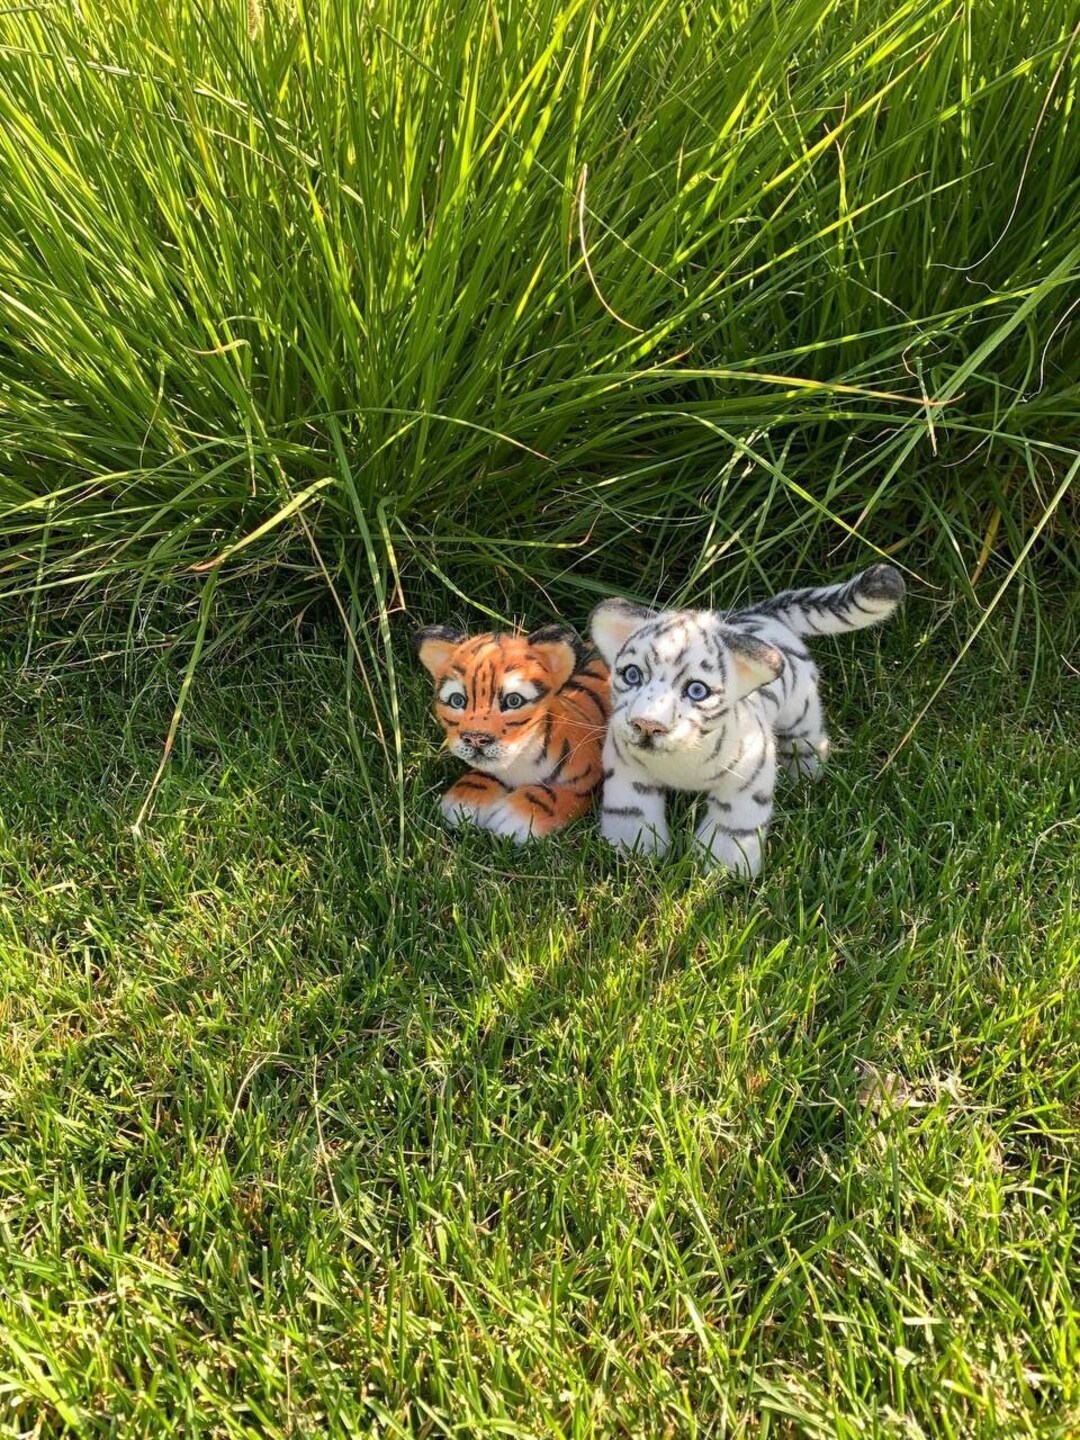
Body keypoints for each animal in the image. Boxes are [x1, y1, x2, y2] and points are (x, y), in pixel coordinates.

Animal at [414, 623, 611, 842]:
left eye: (513, 701)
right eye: (458, 700)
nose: (476, 739)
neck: (522, 760)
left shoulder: (588, 777)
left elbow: (554, 794)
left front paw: (517, 817)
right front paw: (463, 799)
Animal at [589, 564, 906, 876]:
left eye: (696, 691)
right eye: (632, 675)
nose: (647, 724)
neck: (680, 758)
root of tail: (762, 612)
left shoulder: (748, 776)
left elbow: (735, 826)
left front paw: (725, 869)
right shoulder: (626, 768)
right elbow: (631, 810)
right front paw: (633, 851)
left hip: (800, 710)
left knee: (807, 736)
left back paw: (807, 774)